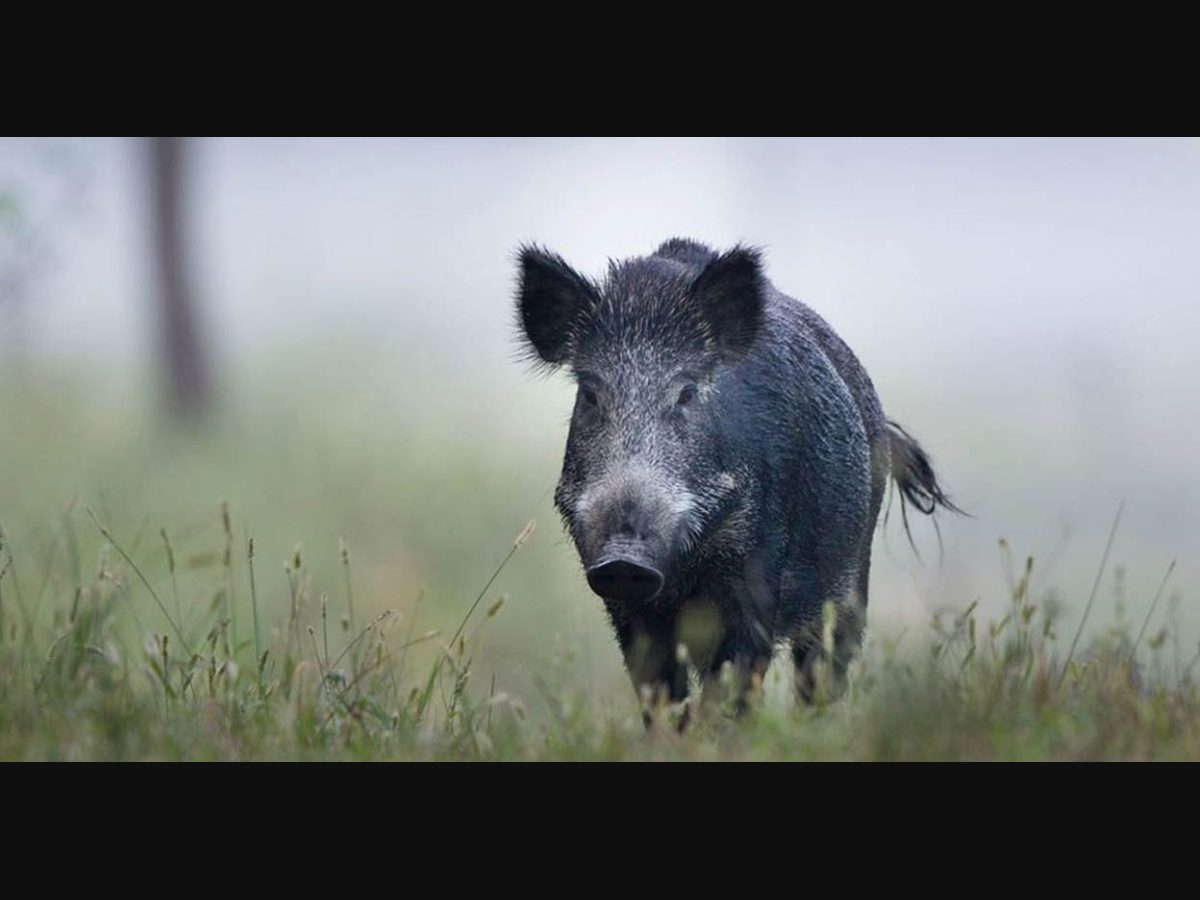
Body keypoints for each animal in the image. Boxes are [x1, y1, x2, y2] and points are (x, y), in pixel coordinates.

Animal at [514, 238, 961, 715]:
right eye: (590, 394)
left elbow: (734, 682)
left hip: (851, 581)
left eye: (686, 393)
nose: (623, 558)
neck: (684, 567)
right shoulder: (625, 607)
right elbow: (660, 694)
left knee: (823, 674)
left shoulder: (756, 572)